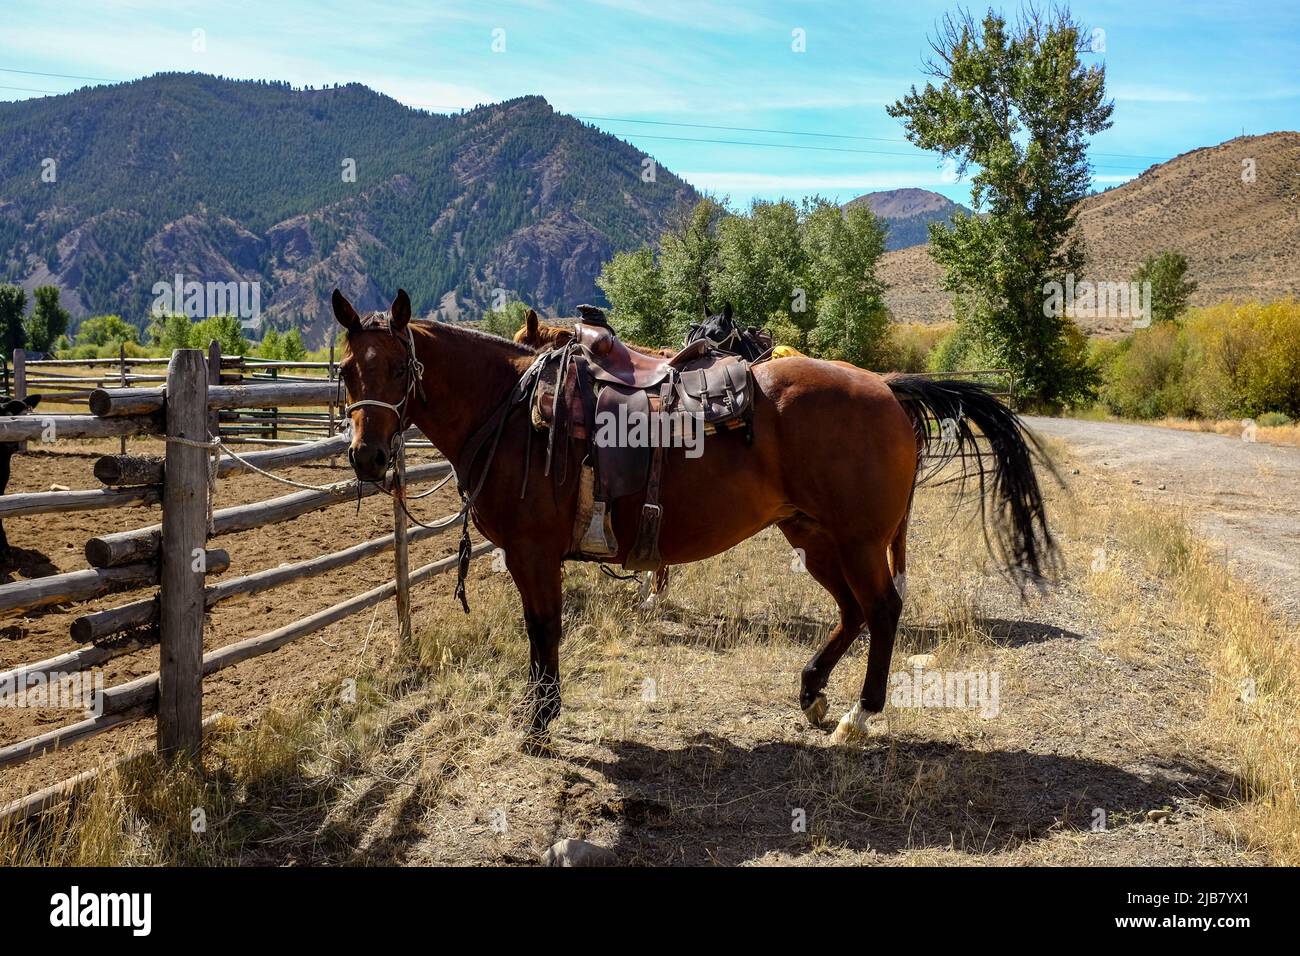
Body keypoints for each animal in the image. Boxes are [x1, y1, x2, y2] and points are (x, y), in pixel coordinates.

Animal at [336, 288, 1057, 747]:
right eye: (347, 370)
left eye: (400, 367)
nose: (367, 457)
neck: (514, 410)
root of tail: (886, 387)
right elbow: (543, 633)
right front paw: (544, 715)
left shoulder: (532, 554)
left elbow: (542, 631)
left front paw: (538, 723)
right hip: (814, 536)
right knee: (853, 611)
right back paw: (813, 693)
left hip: (857, 541)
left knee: (881, 611)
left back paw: (858, 714)